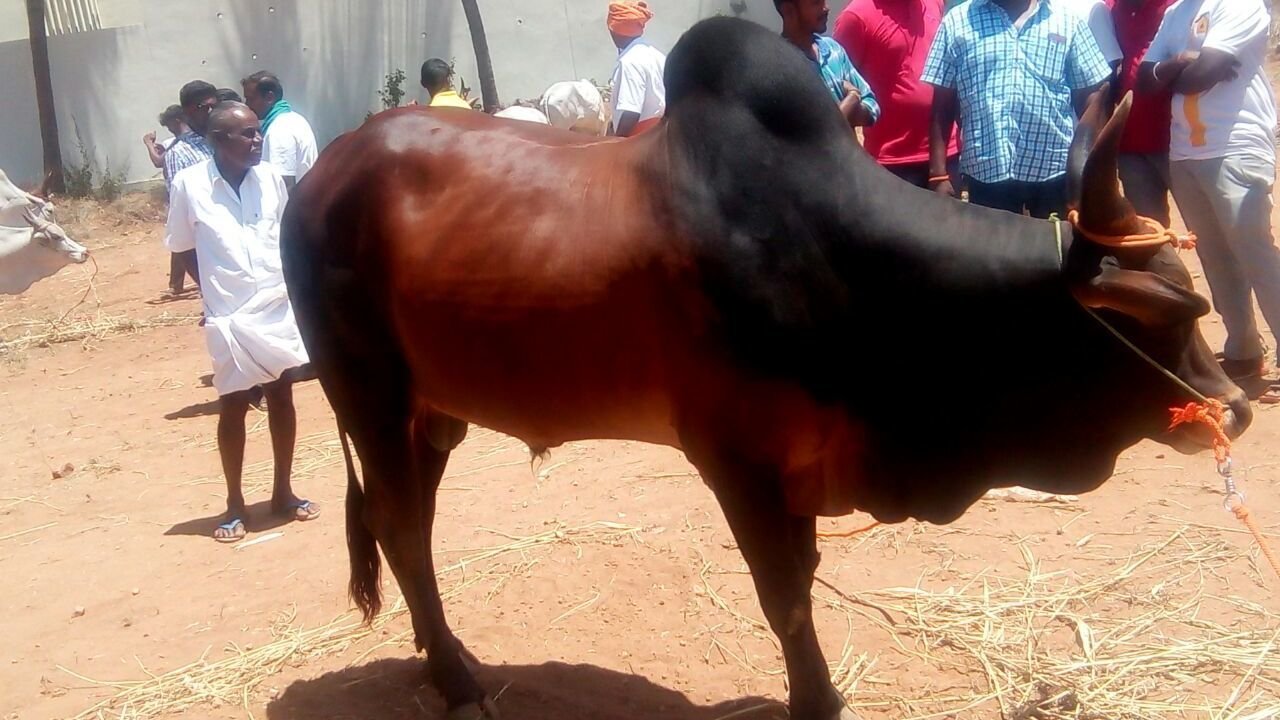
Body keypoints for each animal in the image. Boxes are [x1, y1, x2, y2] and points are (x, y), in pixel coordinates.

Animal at [281, 17, 1250, 720]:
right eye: (1176, 320)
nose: (1235, 407)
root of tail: (322, 176)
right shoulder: (737, 462)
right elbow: (784, 595)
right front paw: (816, 703)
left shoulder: (802, 466)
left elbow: (804, 582)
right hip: (368, 393)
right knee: (402, 529)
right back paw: (456, 681)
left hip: (430, 414)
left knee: (409, 529)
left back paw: (441, 655)